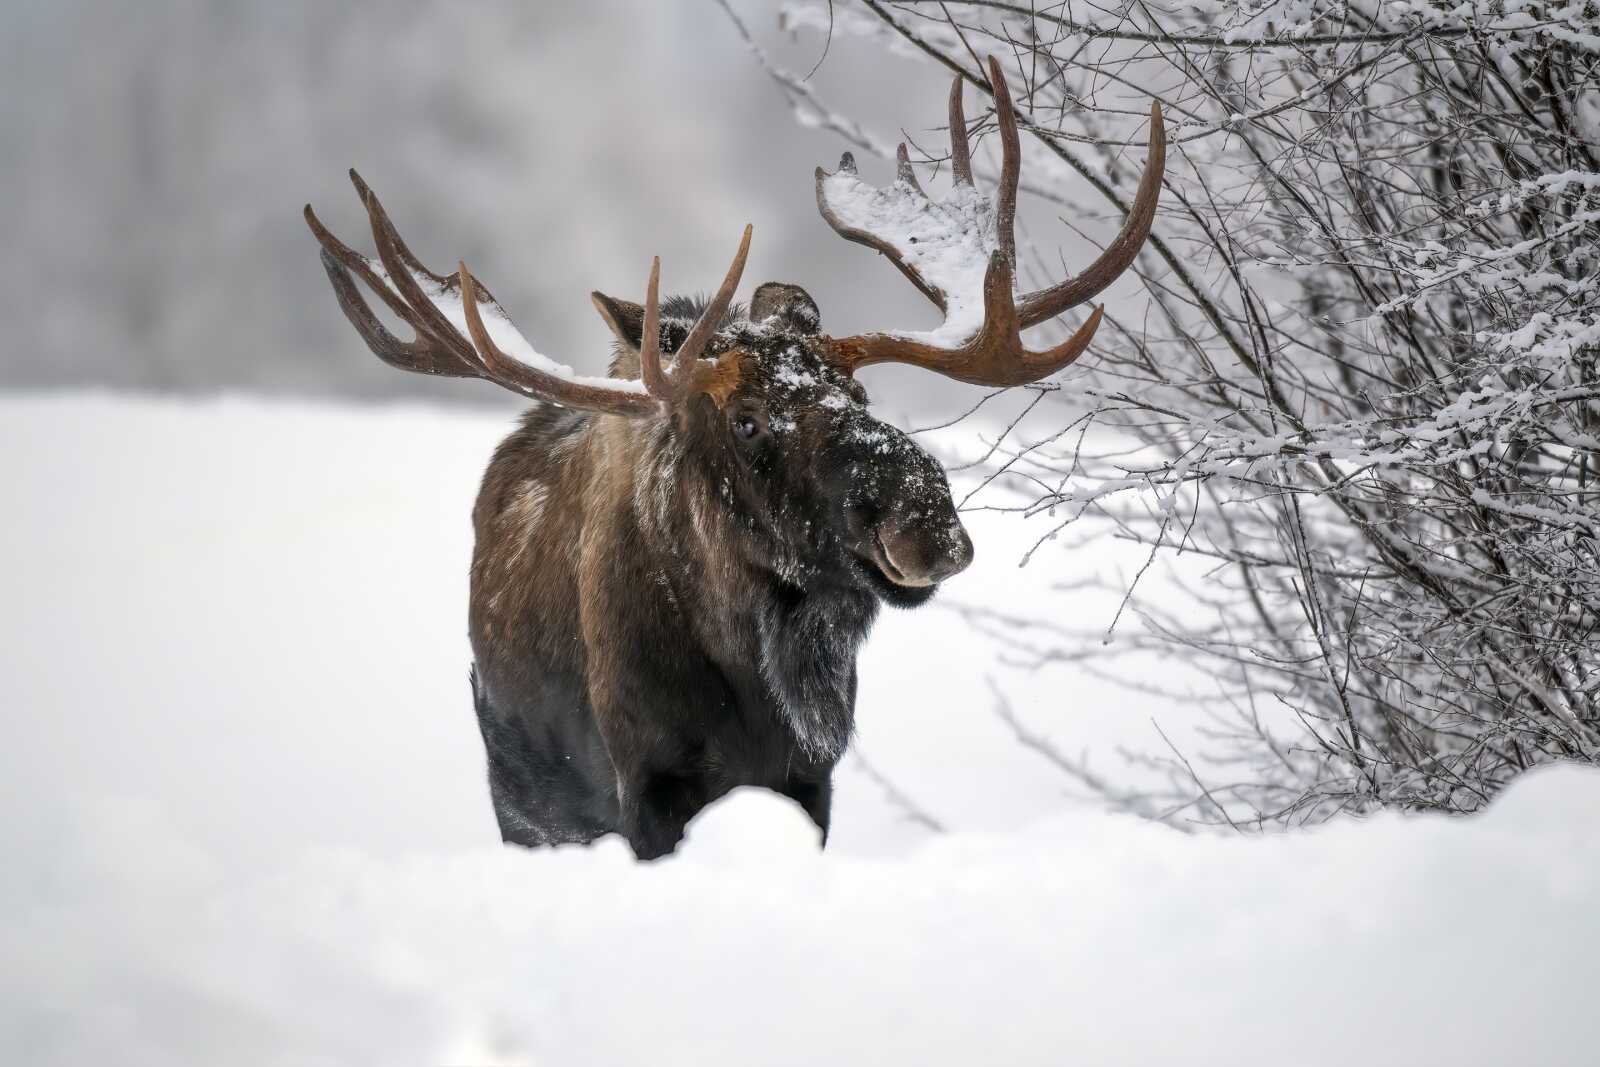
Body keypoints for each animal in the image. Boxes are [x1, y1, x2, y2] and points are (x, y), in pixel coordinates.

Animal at [304, 59, 1164, 859]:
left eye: (858, 390)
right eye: (745, 421)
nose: (924, 517)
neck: (753, 672)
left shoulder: (808, 778)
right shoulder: (649, 783)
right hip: (524, 801)